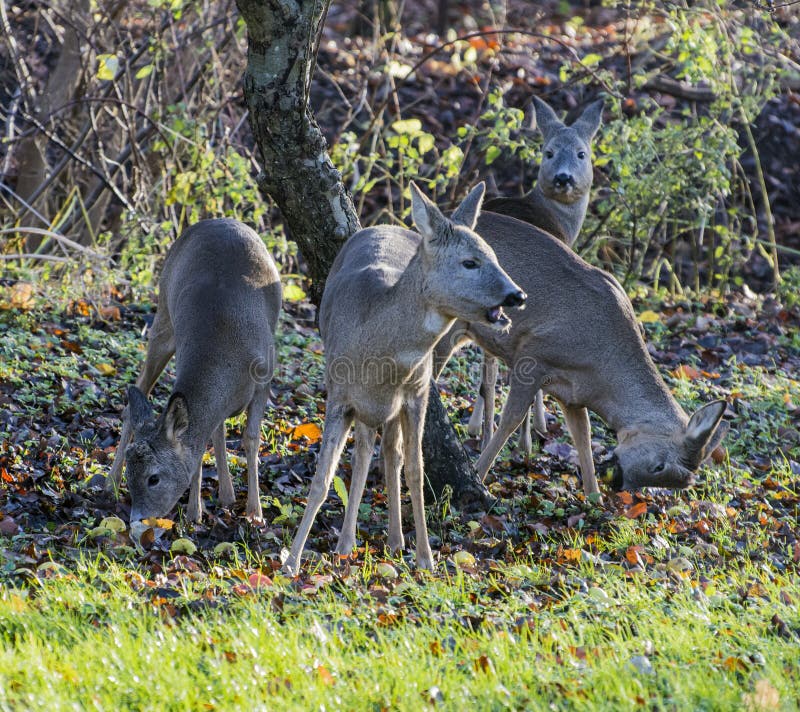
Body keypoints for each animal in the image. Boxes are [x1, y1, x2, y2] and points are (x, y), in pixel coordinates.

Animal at [105, 218, 282, 525]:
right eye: (131, 473)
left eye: (154, 478)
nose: (137, 518)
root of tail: (215, 220)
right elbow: (201, 446)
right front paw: (193, 513)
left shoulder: (265, 375)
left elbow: (250, 438)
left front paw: (255, 512)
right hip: (164, 315)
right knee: (135, 398)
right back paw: (108, 481)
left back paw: (227, 494)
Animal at [282, 182, 525, 575]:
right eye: (470, 262)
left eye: (494, 255)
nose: (516, 294)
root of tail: (383, 225)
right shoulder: (339, 395)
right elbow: (322, 478)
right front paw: (291, 561)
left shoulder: (417, 393)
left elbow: (414, 470)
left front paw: (426, 558)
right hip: (362, 406)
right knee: (365, 454)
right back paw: (346, 543)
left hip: (391, 408)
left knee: (388, 454)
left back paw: (394, 541)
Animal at [433, 213, 727, 496]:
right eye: (659, 466)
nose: (617, 482)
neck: (601, 365)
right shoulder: (532, 354)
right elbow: (511, 419)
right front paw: (479, 474)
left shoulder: (573, 394)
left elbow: (582, 434)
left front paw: (593, 494)